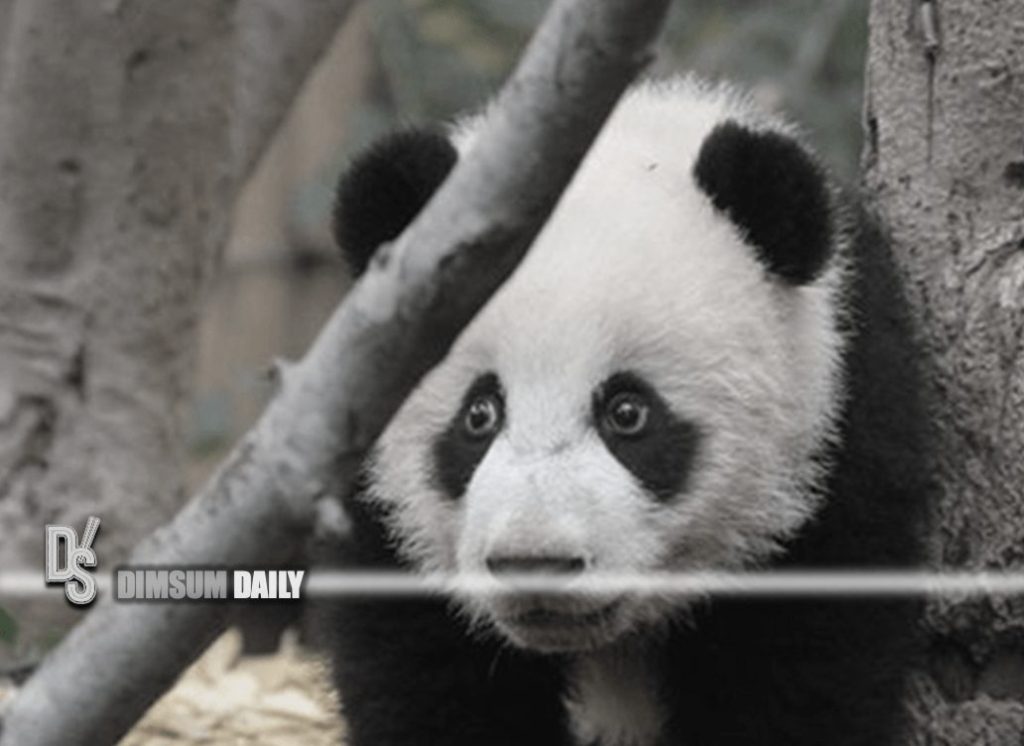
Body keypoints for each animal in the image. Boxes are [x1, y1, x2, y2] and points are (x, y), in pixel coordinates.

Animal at [313, 77, 927, 746]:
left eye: (628, 413)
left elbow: (801, 676)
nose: (534, 561)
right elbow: (424, 680)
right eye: (479, 415)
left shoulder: (835, 457)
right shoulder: (377, 509)